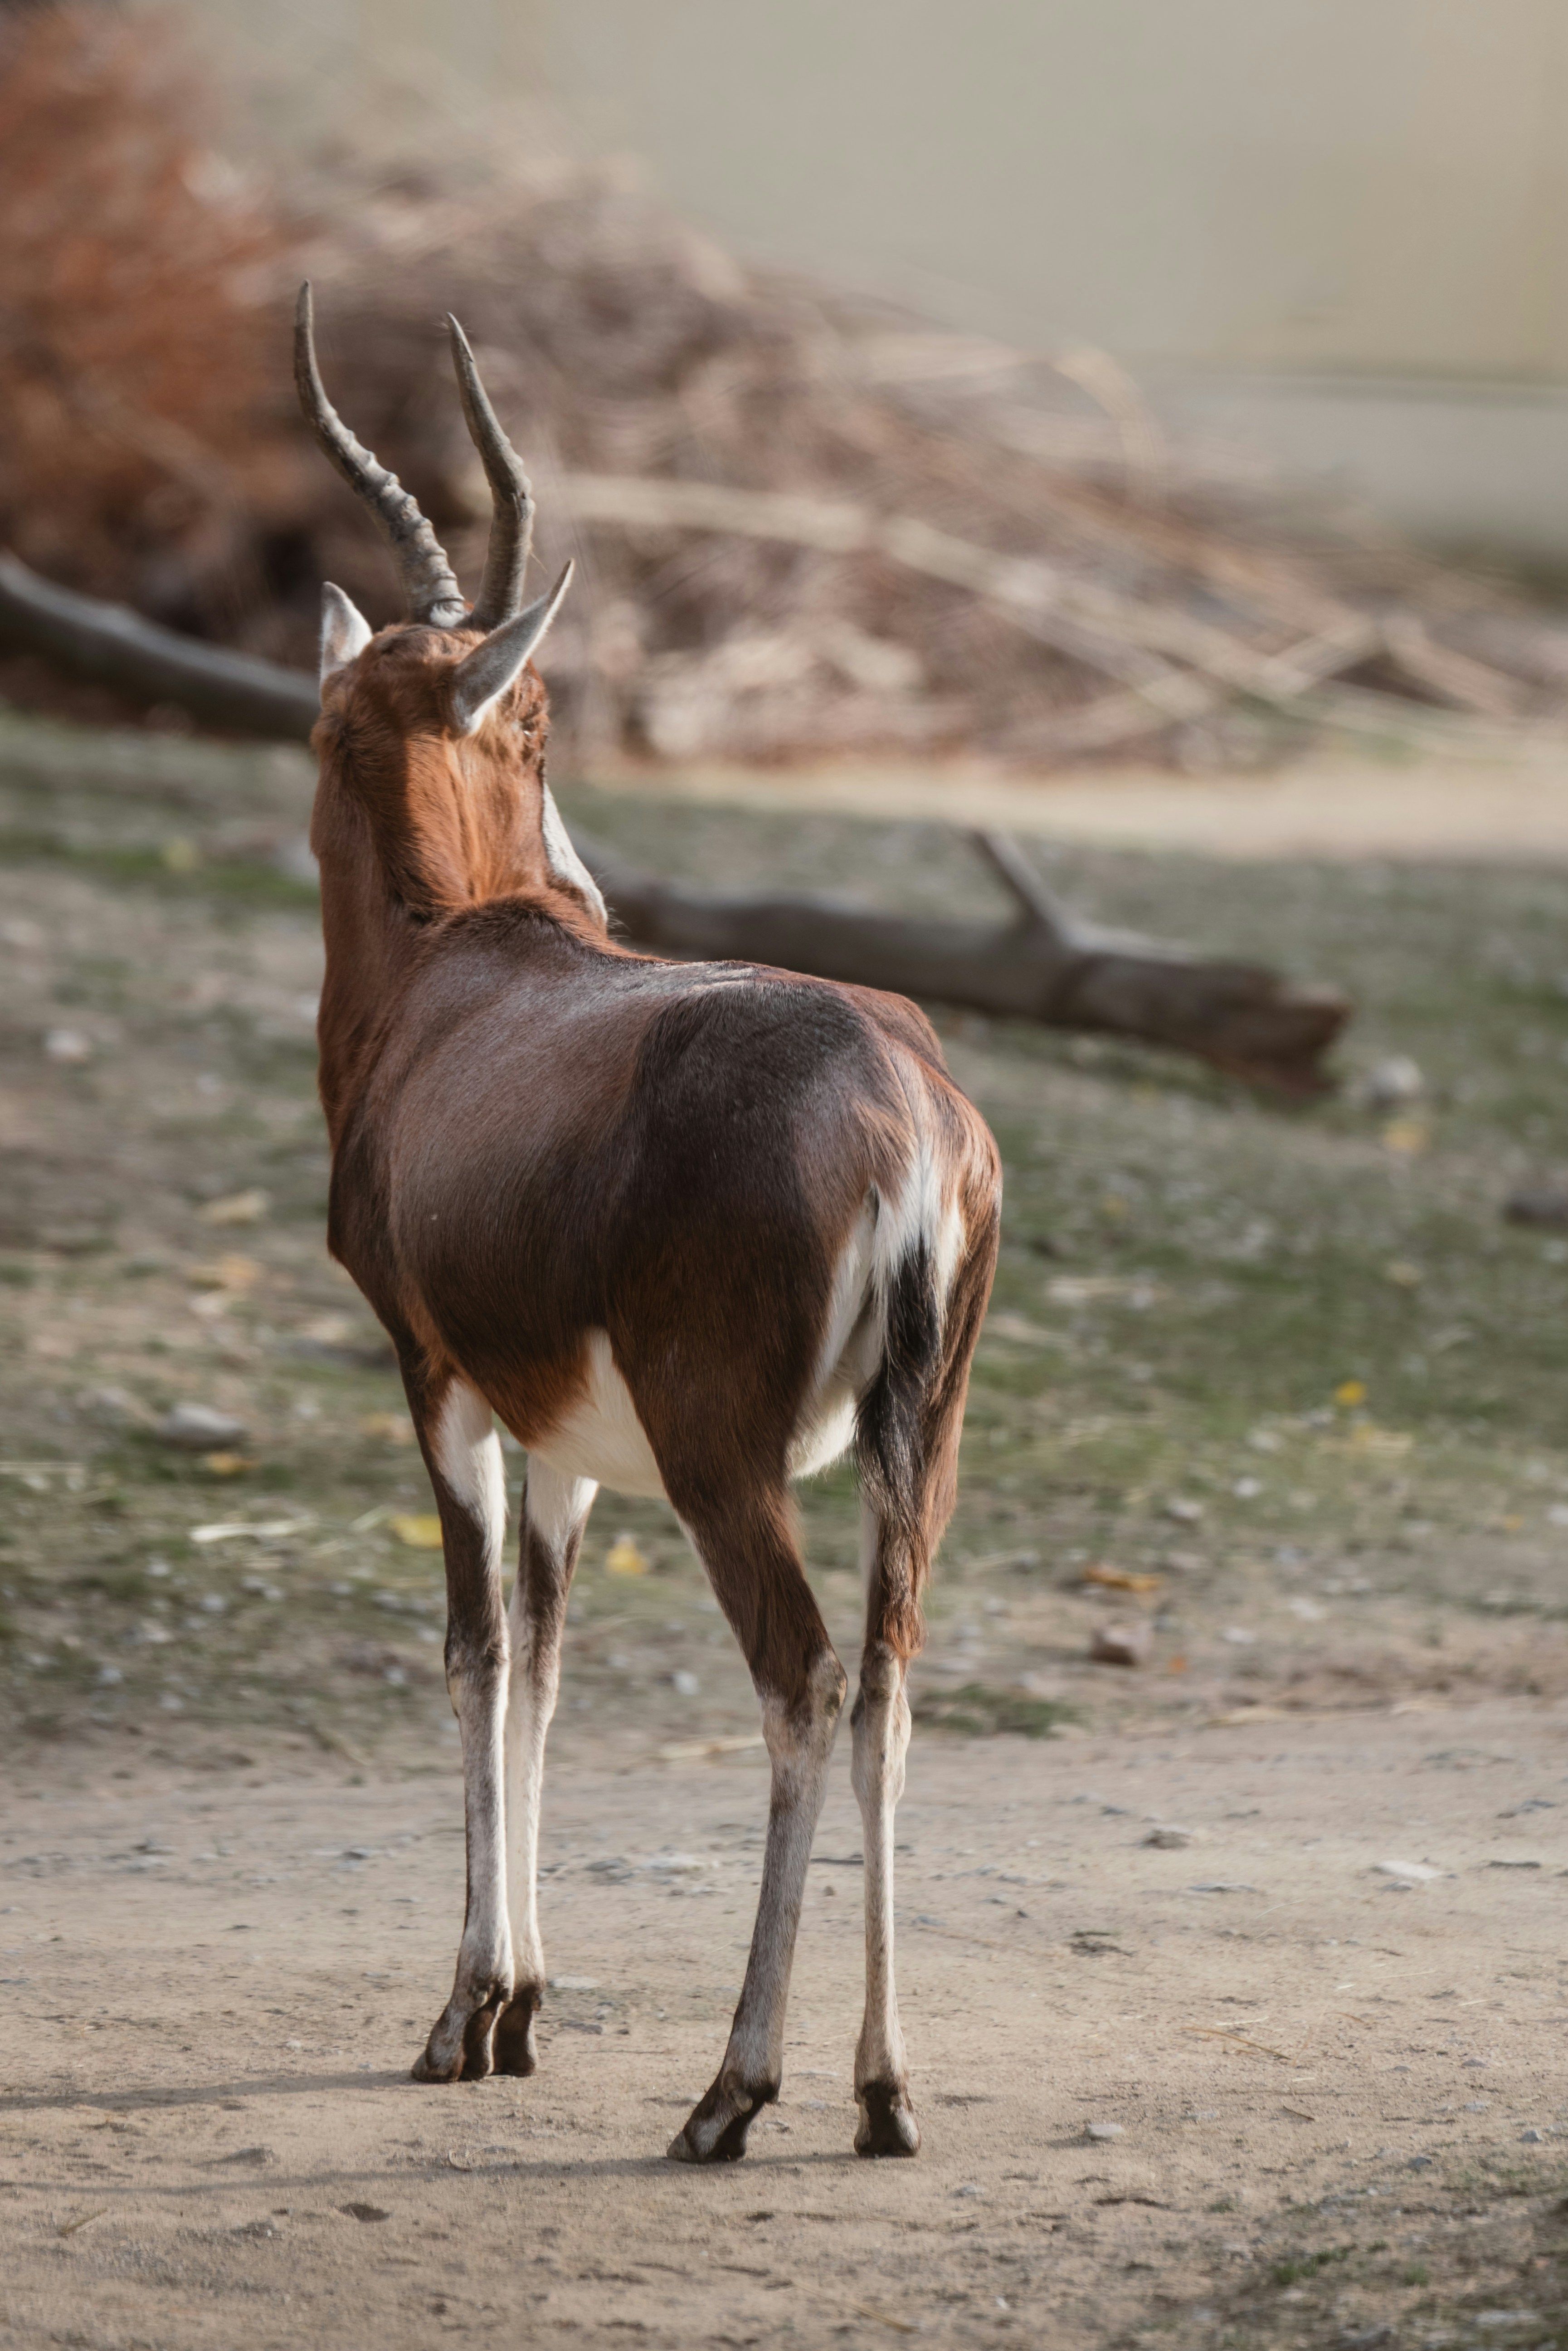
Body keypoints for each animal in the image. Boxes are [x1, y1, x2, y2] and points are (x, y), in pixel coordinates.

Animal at [293, 284, 1001, 2162]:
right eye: (533, 721)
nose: (589, 876)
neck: (466, 975)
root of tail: (900, 1106)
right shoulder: (567, 1434)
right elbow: (547, 1660)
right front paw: (521, 2001)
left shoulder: (440, 1382)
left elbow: (473, 1654)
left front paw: (459, 2014)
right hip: (917, 1440)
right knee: (891, 1677)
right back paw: (882, 2089)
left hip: (718, 1454)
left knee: (803, 1674)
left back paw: (731, 2090)